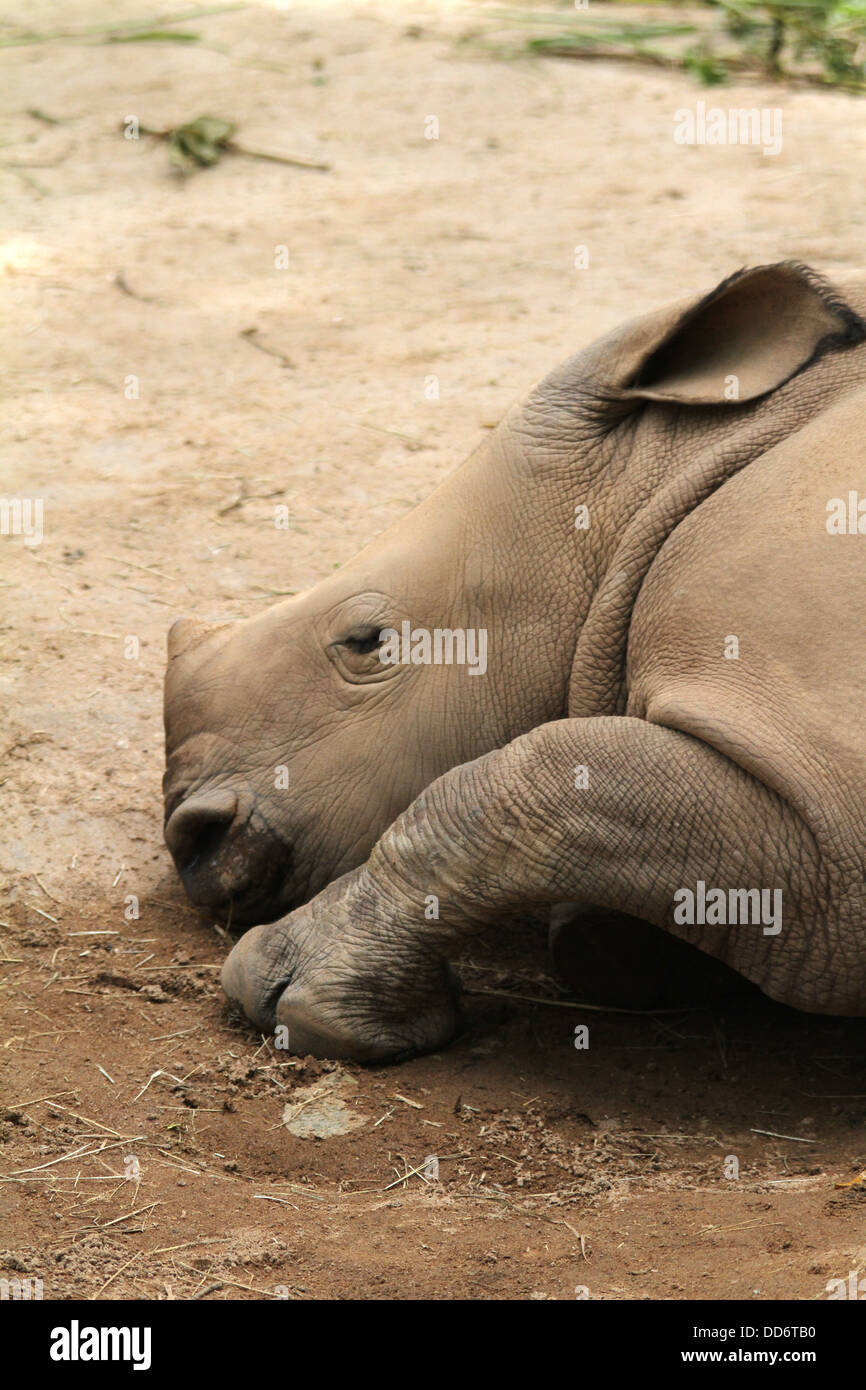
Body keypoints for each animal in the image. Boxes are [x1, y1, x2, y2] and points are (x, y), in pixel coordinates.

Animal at [163, 261, 866, 1061]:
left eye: (367, 641)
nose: (192, 843)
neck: (660, 476)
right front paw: (621, 949)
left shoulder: (821, 795)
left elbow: (514, 788)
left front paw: (285, 996)